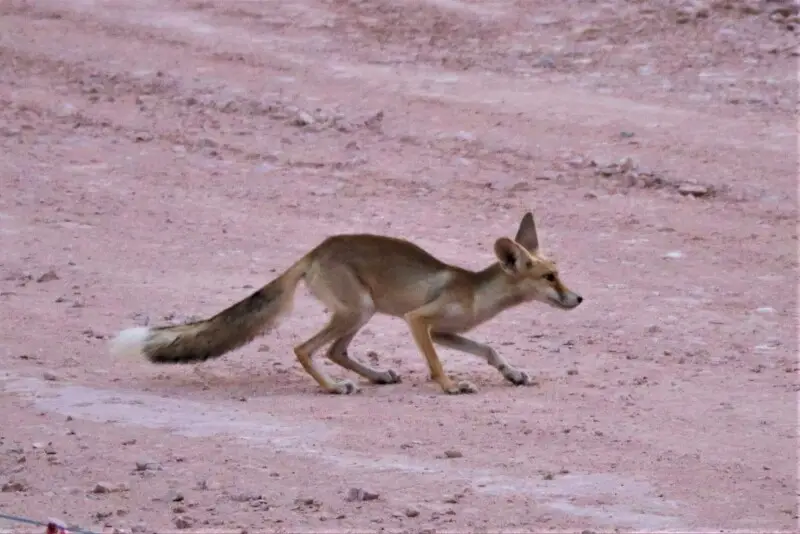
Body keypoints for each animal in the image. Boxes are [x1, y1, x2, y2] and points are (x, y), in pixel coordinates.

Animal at [109, 211, 583, 395]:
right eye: (549, 277)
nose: (578, 297)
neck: (476, 294)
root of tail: (317, 250)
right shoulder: (419, 320)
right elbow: (435, 364)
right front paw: (450, 387)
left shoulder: (446, 332)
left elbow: (488, 349)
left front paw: (513, 373)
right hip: (359, 310)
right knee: (305, 349)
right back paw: (334, 388)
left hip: (359, 314)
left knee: (336, 351)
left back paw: (375, 376)